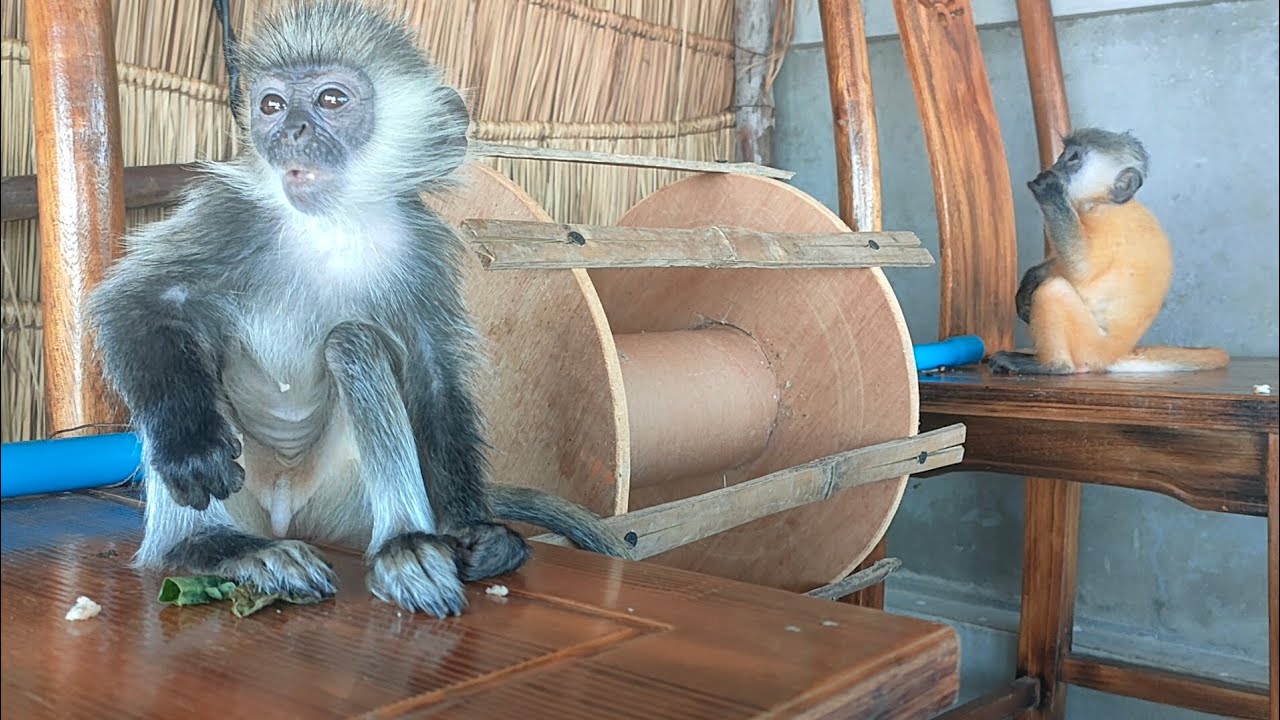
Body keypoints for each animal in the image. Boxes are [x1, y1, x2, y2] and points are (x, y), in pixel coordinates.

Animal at [86, 0, 632, 619]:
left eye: (330, 100)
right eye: (271, 105)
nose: (290, 131)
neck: (334, 225)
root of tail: (287, 512)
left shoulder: (419, 247)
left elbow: (432, 373)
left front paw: (473, 531)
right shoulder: (230, 213)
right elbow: (137, 301)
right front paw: (190, 447)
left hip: (344, 503)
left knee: (353, 341)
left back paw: (406, 545)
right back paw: (214, 545)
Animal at [988, 128, 1230, 376]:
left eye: (1073, 158)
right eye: (1063, 154)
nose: (1055, 166)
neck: (1103, 201)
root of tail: (1113, 354)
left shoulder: (1105, 218)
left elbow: (1082, 269)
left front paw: (1049, 191)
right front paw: (1030, 280)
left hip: (1090, 346)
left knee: (1052, 290)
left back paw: (1055, 366)